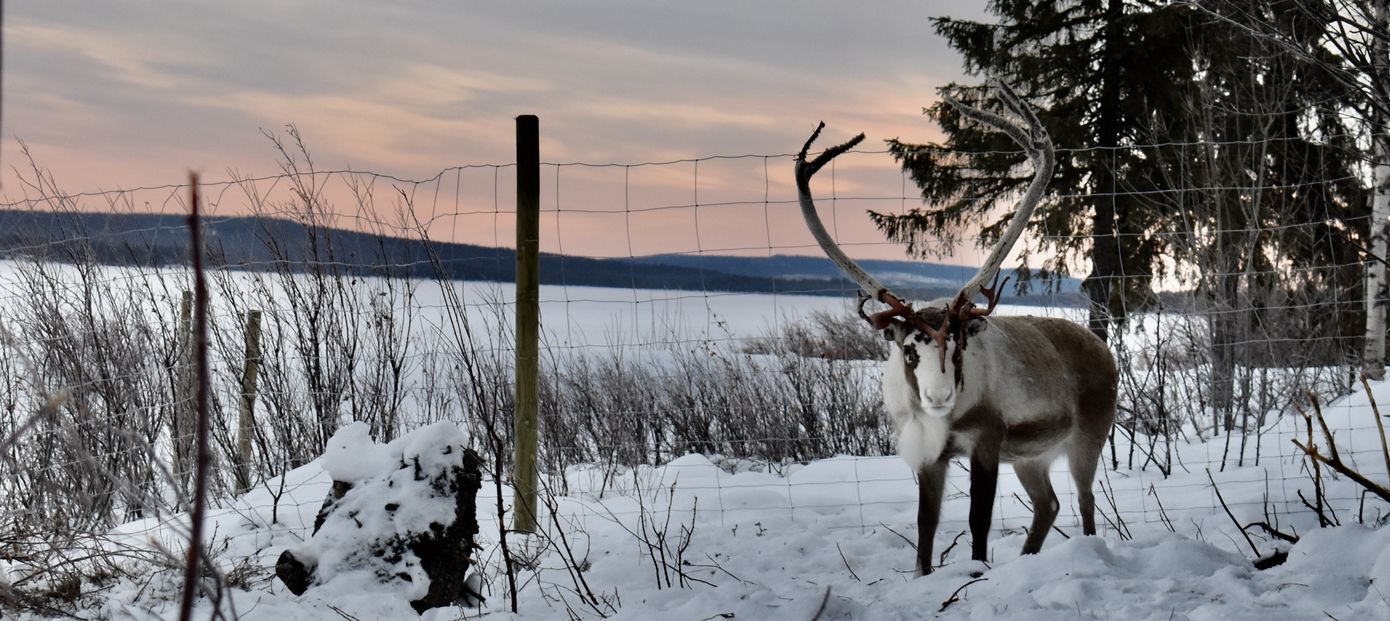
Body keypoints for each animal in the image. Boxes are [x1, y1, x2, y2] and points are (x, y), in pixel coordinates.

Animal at [794, 80, 1117, 575]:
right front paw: (922, 574)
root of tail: (1103, 348)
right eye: (909, 349)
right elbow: (925, 525)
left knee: (1085, 501)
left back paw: (1087, 551)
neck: (942, 419)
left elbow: (977, 520)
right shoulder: (928, 453)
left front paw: (976, 572)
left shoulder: (986, 440)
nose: (939, 396)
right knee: (1049, 504)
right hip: (1031, 456)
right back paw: (1027, 558)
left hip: (1087, 439)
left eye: (960, 346)